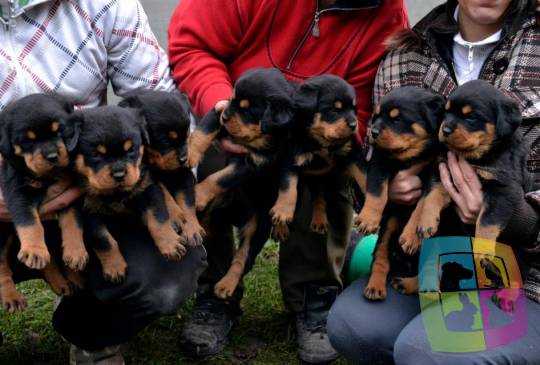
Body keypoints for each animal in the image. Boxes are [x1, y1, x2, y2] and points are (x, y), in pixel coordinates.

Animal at [71, 105, 186, 282]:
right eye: (97, 154)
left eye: (131, 150)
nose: (119, 175)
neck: (115, 193)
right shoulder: (87, 209)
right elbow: (103, 239)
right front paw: (114, 267)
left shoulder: (148, 187)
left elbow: (158, 219)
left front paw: (171, 243)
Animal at [119, 89, 206, 246]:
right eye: (165, 141)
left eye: (187, 136)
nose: (184, 159)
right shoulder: (145, 176)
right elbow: (161, 189)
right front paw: (174, 216)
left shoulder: (183, 171)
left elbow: (186, 199)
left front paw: (192, 228)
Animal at [270, 74, 368, 239]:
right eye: (335, 110)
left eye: (354, 109)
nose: (354, 125)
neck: (319, 140)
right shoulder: (290, 158)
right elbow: (288, 187)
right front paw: (282, 213)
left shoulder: (352, 151)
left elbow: (363, 175)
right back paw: (279, 228)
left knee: (319, 197)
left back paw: (319, 221)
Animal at [360, 86, 446, 300]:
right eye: (376, 116)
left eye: (397, 119)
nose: (373, 132)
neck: (413, 155)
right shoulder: (380, 161)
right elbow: (376, 191)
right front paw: (367, 219)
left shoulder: (436, 172)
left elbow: (423, 204)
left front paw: (412, 236)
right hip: (389, 225)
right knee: (381, 257)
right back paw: (376, 287)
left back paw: (410, 285)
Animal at [418, 79, 528, 242]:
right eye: (446, 112)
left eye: (471, 117)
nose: (445, 130)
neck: (475, 156)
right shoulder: (441, 165)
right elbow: (433, 194)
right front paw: (426, 222)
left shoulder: (503, 188)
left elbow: (487, 222)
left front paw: (482, 247)